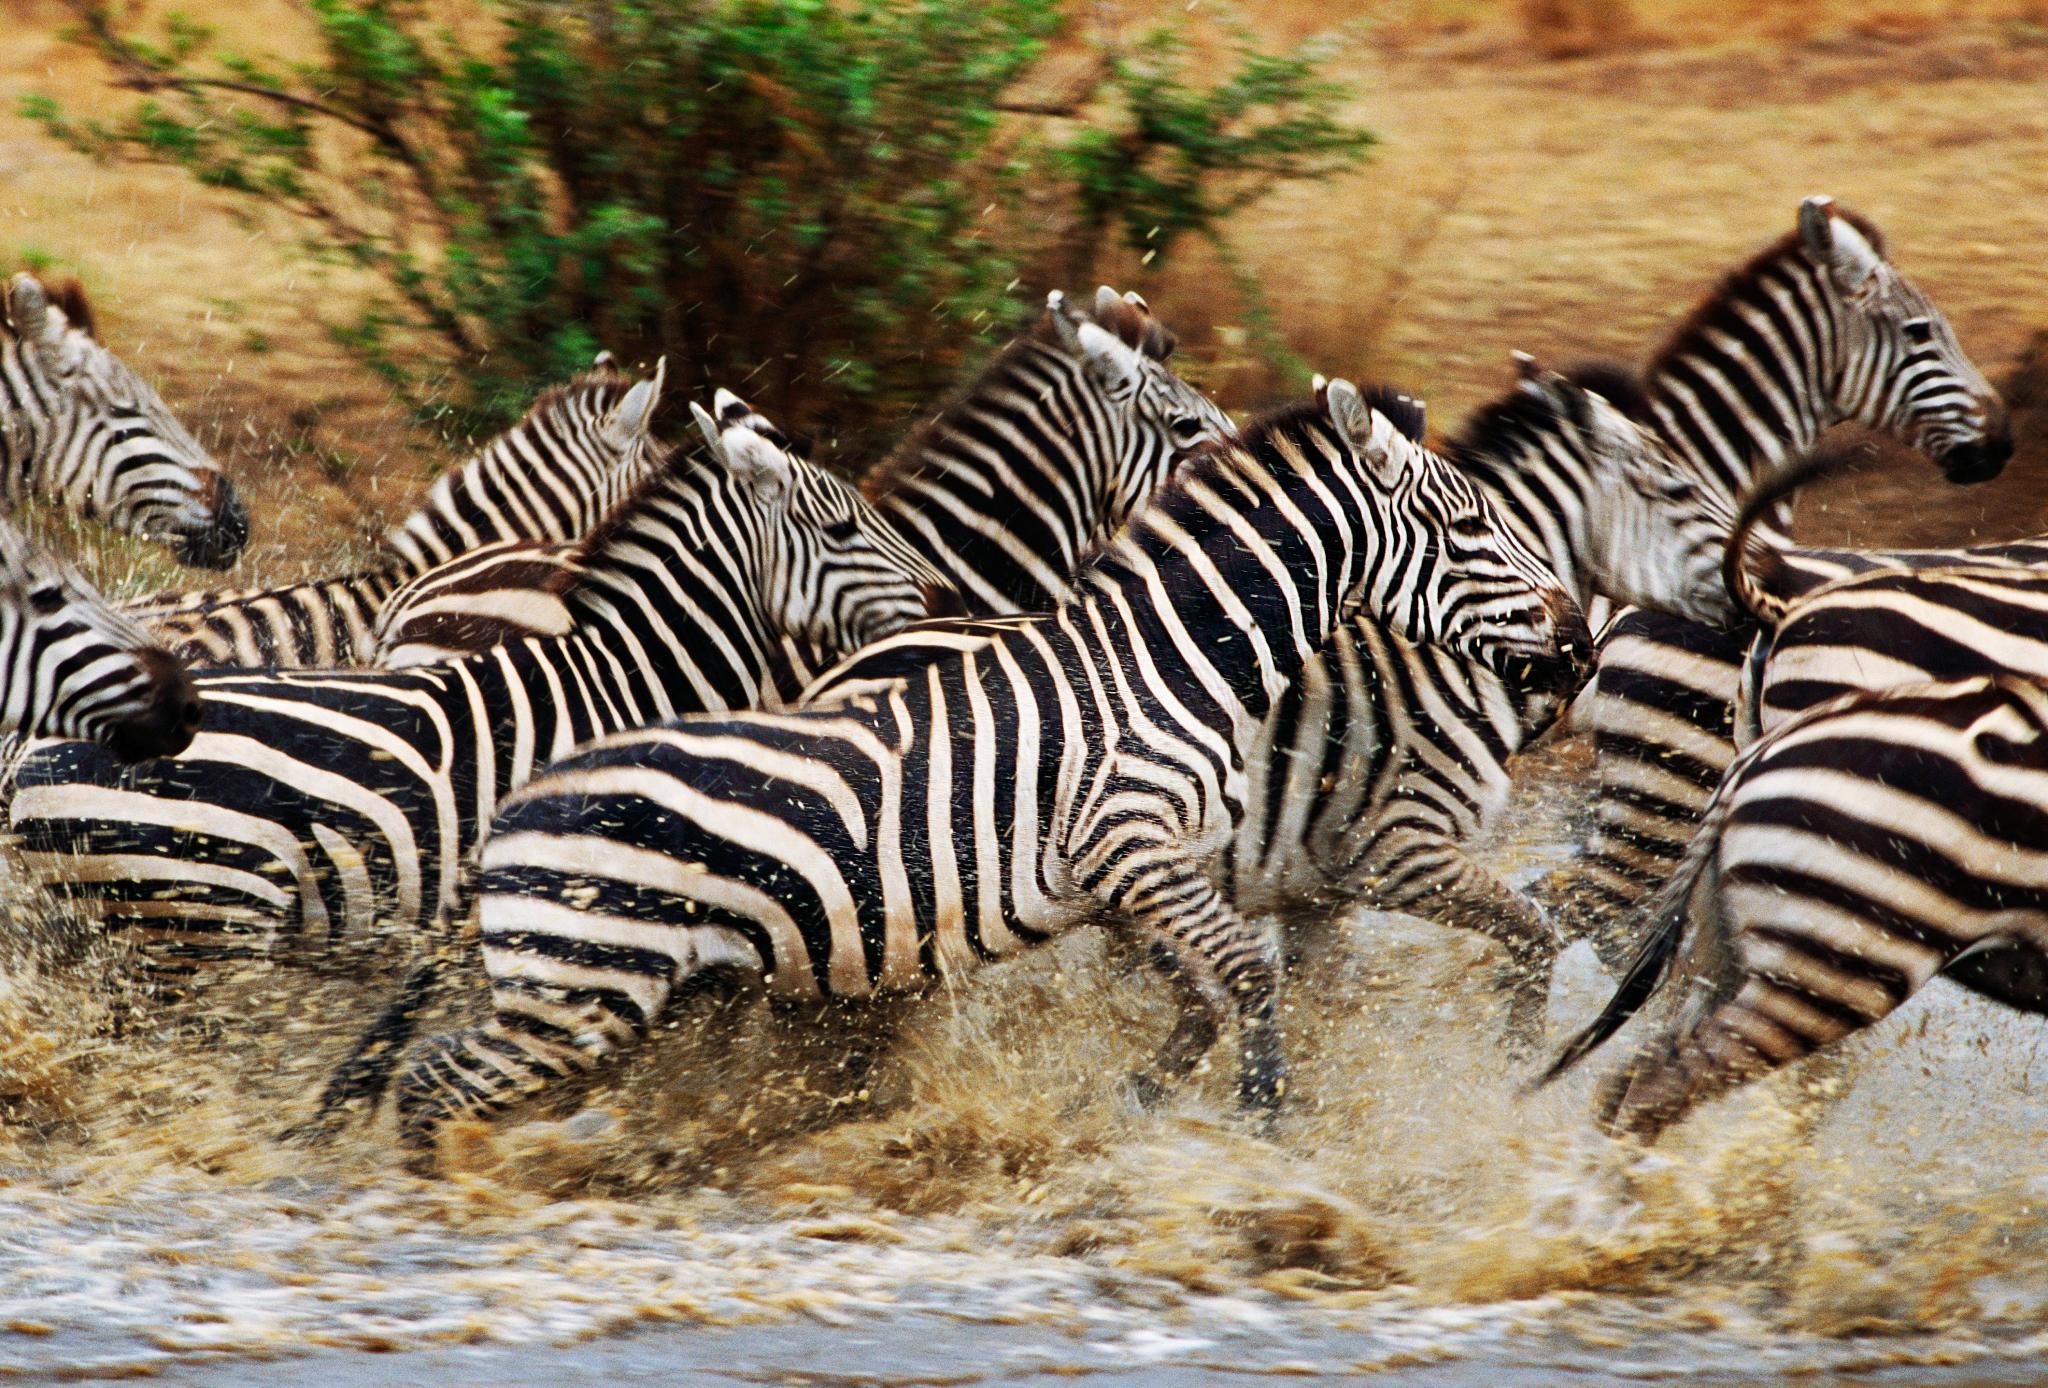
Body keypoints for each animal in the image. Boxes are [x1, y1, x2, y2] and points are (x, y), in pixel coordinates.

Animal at [386, 379, 1588, 1156]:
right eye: (1472, 525)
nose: (1578, 642)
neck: (1168, 665)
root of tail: (516, 805)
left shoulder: (1130, 881)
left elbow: (1205, 995)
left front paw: (1138, 1101)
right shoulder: (1135, 844)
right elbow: (1250, 975)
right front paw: (1265, 1120)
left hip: (626, 988)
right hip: (584, 987)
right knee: (434, 1078)